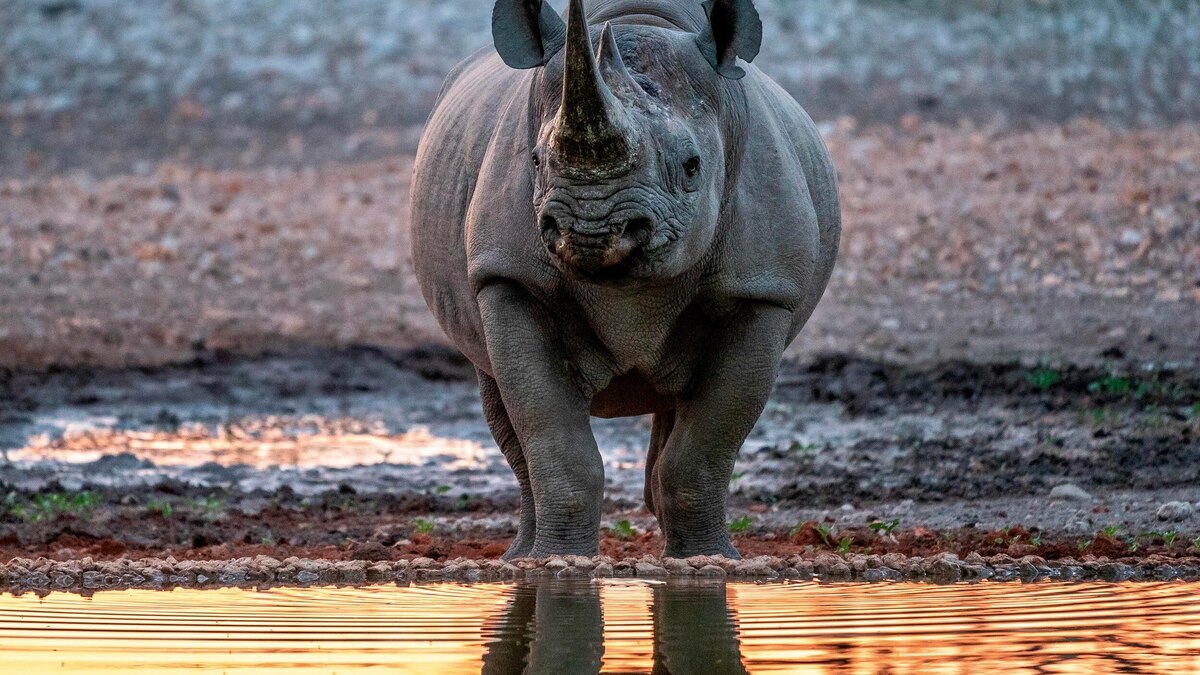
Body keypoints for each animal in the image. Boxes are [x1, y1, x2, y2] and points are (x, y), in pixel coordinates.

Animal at [410, 0, 840, 559]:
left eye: (692, 166)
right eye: (535, 161)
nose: (592, 227)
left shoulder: (763, 290)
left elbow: (706, 444)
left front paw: (709, 560)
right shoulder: (509, 277)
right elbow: (552, 439)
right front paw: (556, 562)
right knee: (501, 402)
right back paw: (518, 556)